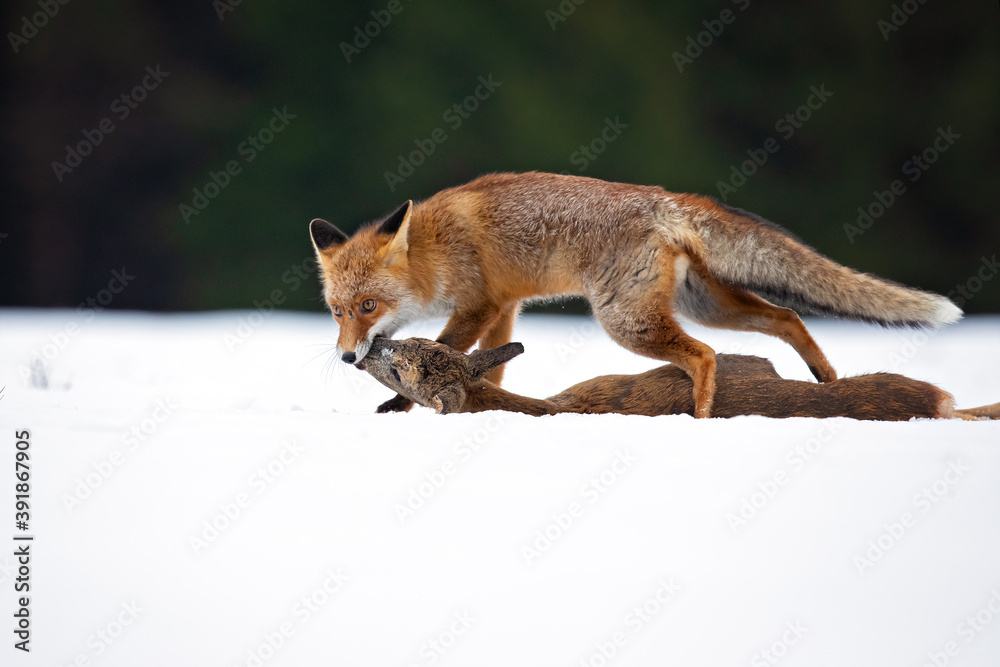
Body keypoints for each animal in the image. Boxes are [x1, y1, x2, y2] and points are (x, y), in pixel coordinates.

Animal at [309, 171, 961, 417]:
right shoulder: (507, 307)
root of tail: (665, 198)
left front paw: (408, 401)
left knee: (705, 355)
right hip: (706, 305)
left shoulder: (481, 304)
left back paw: (702, 415)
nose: (348, 356)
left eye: (369, 307)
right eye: (337, 312)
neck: (437, 252)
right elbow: (493, 368)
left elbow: (451, 349)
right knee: (788, 316)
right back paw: (828, 382)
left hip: (627, 321)